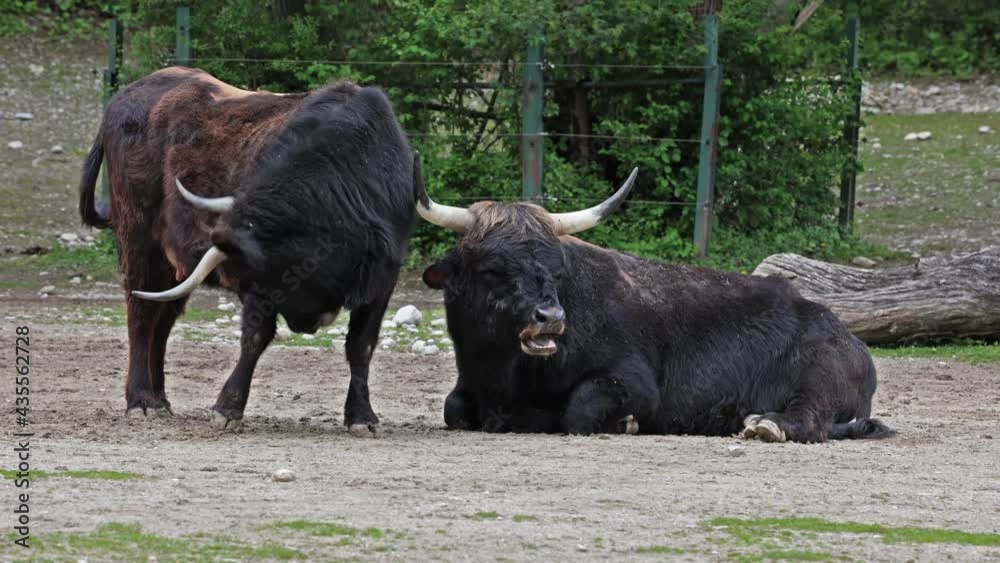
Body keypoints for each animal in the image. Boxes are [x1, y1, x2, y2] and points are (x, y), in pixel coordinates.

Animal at [79, 67, 415, 435]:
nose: (307, 323)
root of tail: (123, 99)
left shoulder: (382, 278)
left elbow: (361, 345)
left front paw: (361, 416)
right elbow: (255, 338)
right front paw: (228, 408)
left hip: (172, 269)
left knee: (162, 322)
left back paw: (159, 400)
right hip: (139, 244)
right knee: (140, 315)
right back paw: (140, 401)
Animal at [413, 165, 895, 442]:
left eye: (556, 267)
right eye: (493, 267)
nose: (550, 318)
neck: (504, 374)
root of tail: (847, 336)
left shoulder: (633, 382)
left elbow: (577, 411)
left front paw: (622, 424)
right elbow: (454, 409)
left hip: (818, 382)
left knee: (810, 420)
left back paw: (766, 425)